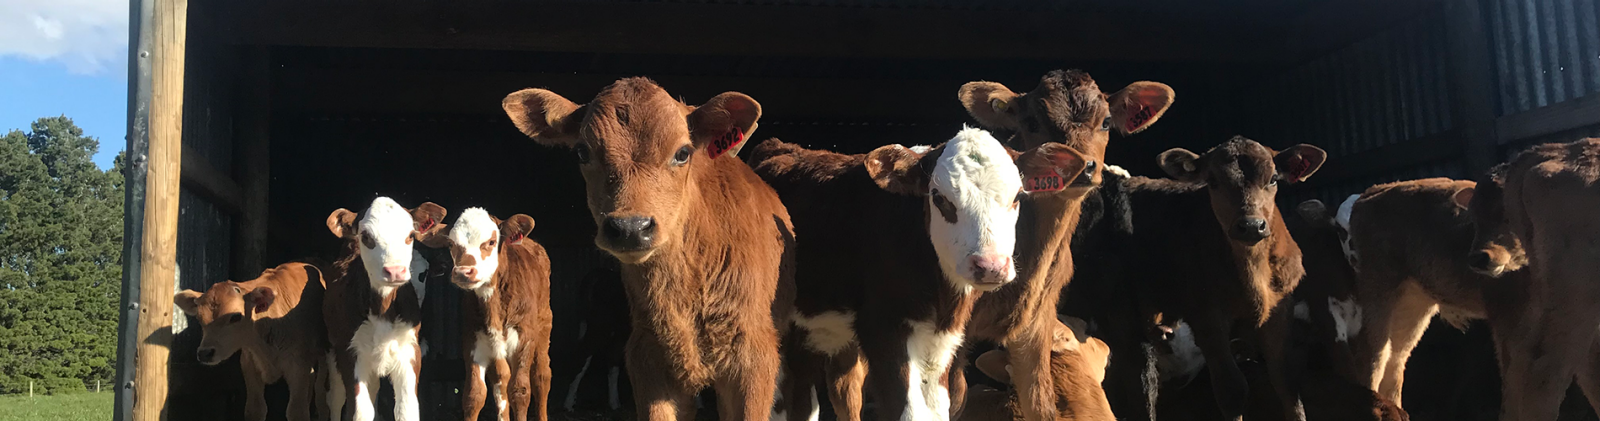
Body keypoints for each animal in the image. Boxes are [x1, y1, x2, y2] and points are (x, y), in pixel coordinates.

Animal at [174, 262, 331, 421]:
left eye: (235, 317)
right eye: (199, 318)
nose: (205, 353)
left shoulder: (298, 366)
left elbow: (297, 411)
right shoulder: (249, 362)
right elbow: (255, 409)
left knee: (320, 389)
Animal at [323, 197, 447, 421]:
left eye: (410, 235)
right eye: (366, 237)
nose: (395, 270)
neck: (383, 310)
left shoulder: (410, 350)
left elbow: (406, 409)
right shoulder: (350, 353)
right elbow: (360, 411)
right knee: (335, 398)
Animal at [418, 208, 554, 421]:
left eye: (490, 242)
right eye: (451, 243)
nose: (463, 272)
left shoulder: (524, 339)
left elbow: (520, 390)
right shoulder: (472, 339)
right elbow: (474, 394)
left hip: (543, 327)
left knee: (541, 377)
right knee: (501, 378)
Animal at [750, 127, 1083, 421]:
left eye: (1016, 197)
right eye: (939, 198)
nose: (990, 266)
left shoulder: (942, 339)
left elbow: (938, 408)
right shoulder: (883, 328)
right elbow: (909, 410)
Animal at [1062, 137, 1326, 421]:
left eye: (1274, 178)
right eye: (1212, 181)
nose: (1251, 225)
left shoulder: (1280, 311)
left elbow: (1287, 384)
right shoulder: (1206, 318)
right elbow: (1232, 390)